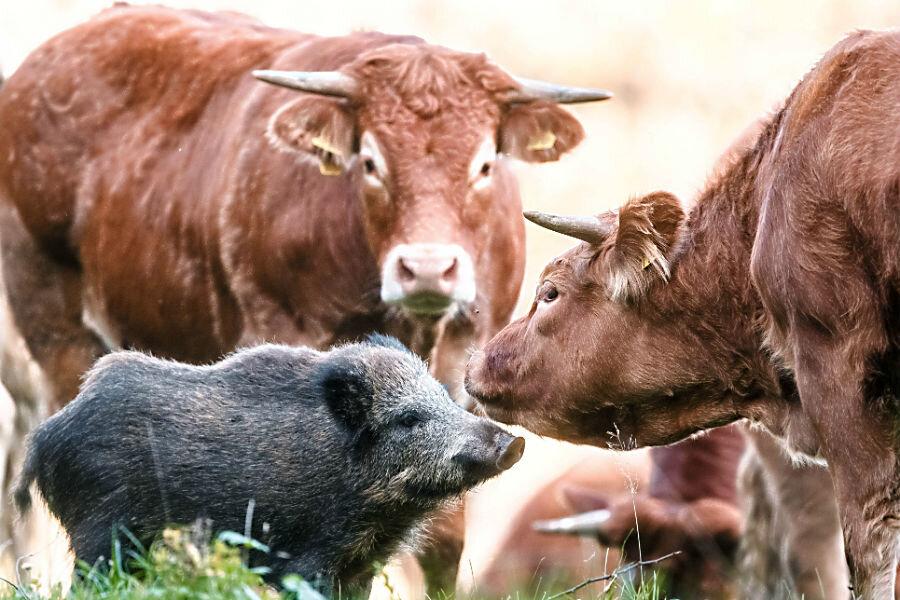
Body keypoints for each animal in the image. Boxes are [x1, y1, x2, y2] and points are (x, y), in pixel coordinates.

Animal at [15, 335, 525, 592]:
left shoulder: (359, 568)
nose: (513, 442)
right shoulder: (306, 560)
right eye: (408, 419)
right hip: (103, 534)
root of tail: (43, 437)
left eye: (443, 395)